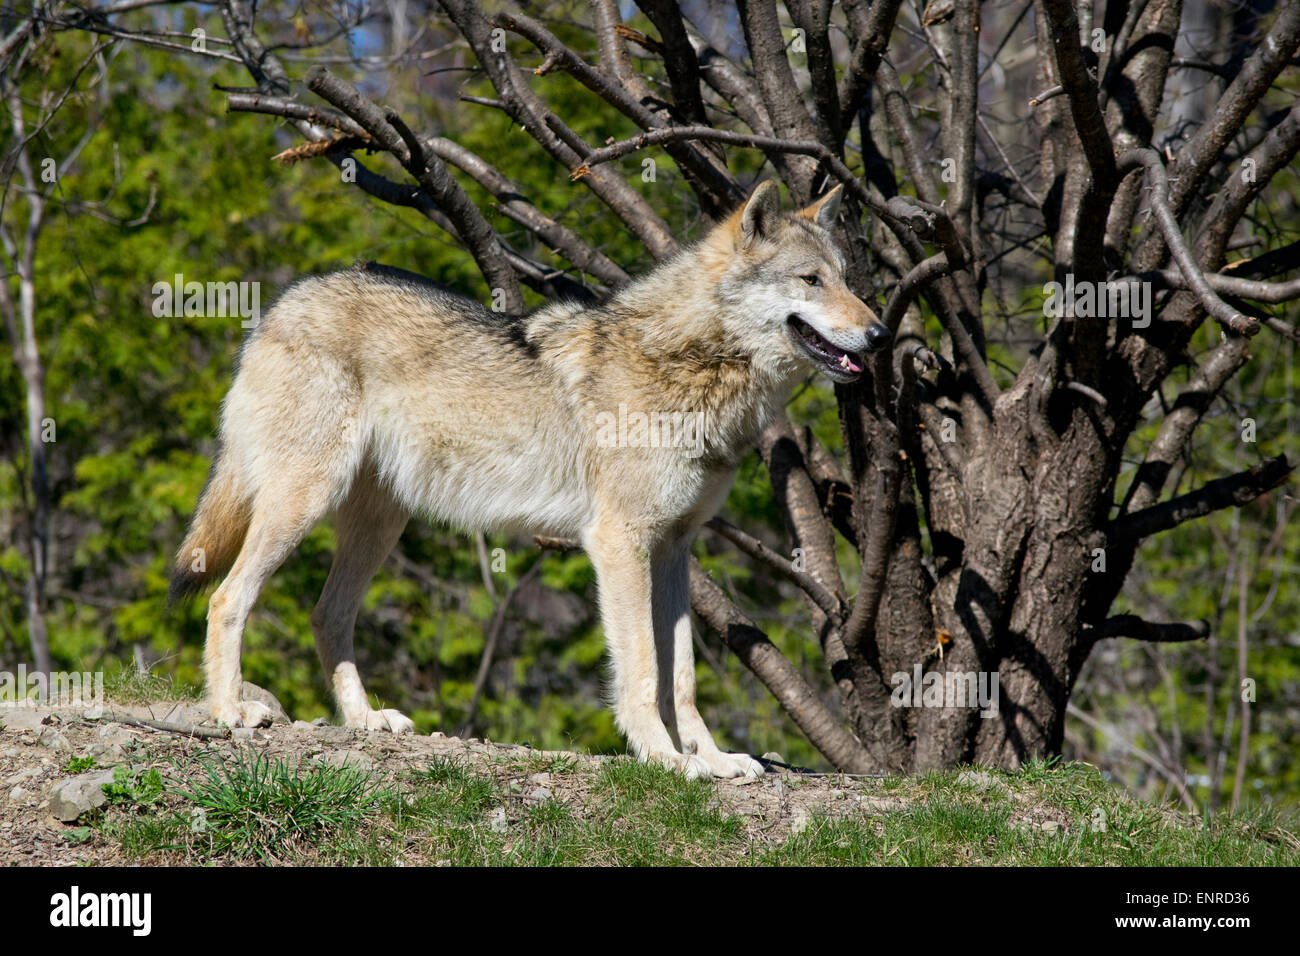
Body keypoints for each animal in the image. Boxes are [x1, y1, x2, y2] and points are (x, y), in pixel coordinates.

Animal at [170, 181, 891, 779]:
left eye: (847, 280)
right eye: (810, 280)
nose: (881, 334)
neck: (694, 364)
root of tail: (279, 304)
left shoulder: (674, 549)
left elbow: (681, 677)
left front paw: (711, 758)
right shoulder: (619, 543)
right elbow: (641, 670)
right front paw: (663, 758)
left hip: (378, 524)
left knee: (327, 615)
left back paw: (365, 720)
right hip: (303, 503)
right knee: (227, 599)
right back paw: (231, 712)